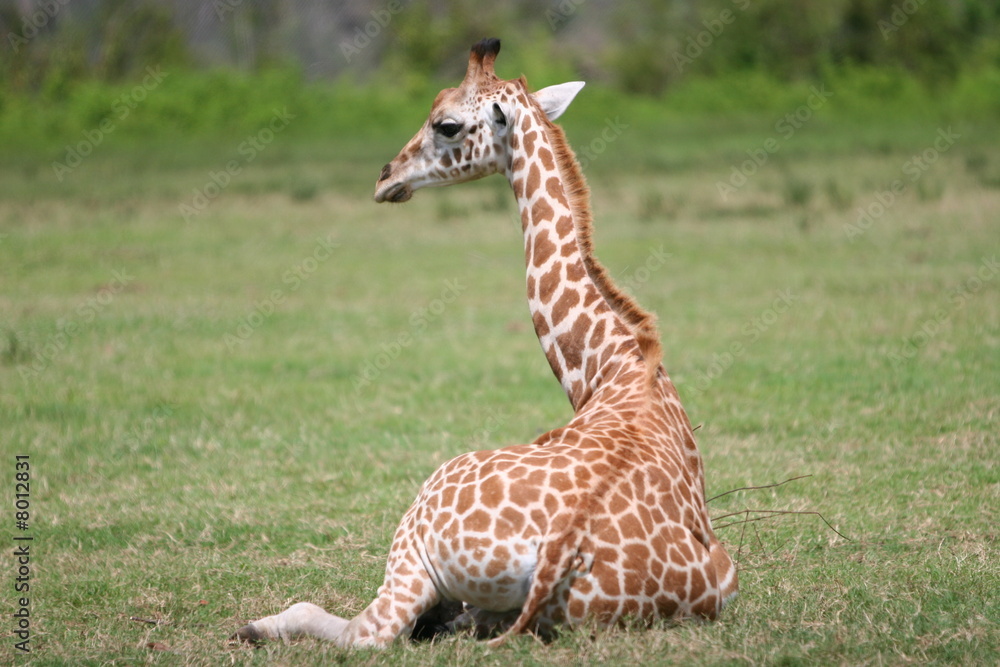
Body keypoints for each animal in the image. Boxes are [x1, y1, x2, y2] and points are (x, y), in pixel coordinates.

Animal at [233, 38, 737, 649]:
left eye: (446, 124)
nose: (384, 178)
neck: (613, 364)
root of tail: (559, 552)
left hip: (420, 522)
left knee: (369, 628)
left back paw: (258, 624)